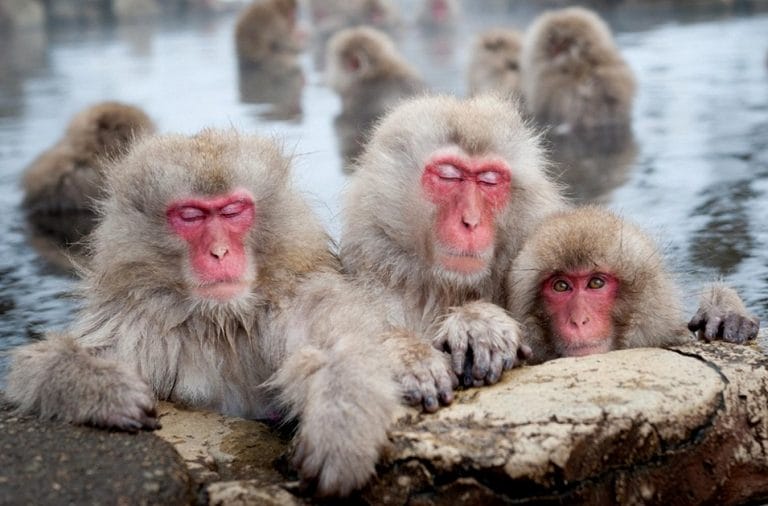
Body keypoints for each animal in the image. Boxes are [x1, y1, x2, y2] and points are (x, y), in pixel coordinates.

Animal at [6, 129, 402, 497]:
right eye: (191, 216)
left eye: (232, 211)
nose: (220, 252)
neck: (222, 319)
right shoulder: (136, 322)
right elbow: (34, 367)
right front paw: (104, 389)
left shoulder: (296, 301)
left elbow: (340, 346)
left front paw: (340, 430)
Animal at [340, 94, 568, 411]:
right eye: (449, 176)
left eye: (489, 180)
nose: (470, 221)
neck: (445, 288)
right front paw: (409, 356)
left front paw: (479, 323)